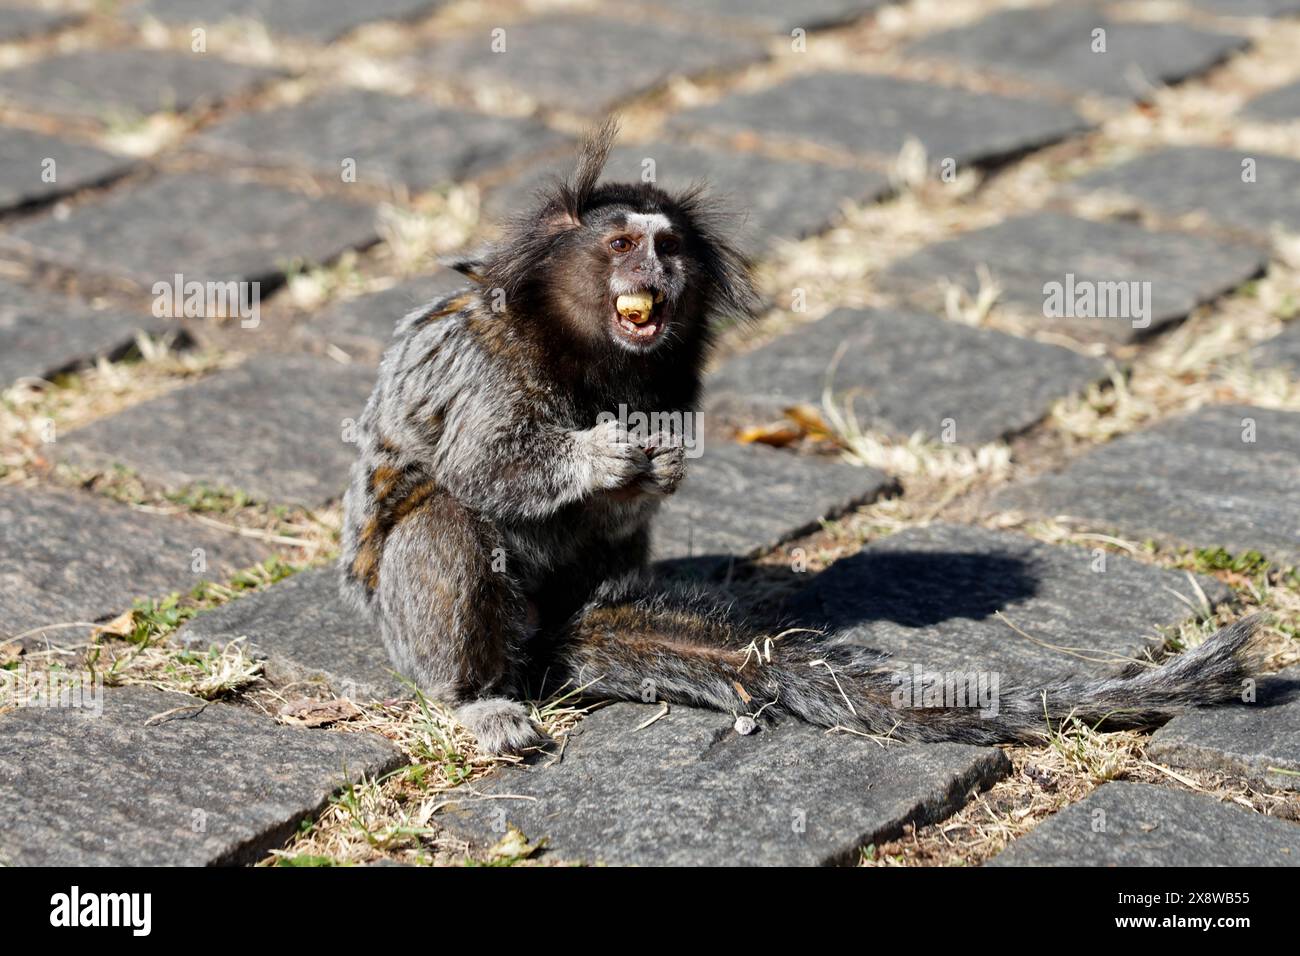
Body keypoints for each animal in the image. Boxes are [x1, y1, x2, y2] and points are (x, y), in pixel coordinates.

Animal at [340, 121, 1265, 755]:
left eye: (669, 246)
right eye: (621, 242)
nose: (653, 268)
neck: (584, 354)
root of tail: (548, 636)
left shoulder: (673, 388)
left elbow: (634, 492)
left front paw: (652, 471)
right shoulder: (489, 364)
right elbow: (483, 465)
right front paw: (600, 456)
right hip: (409, 624)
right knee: (445, 521)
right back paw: (473, 697)